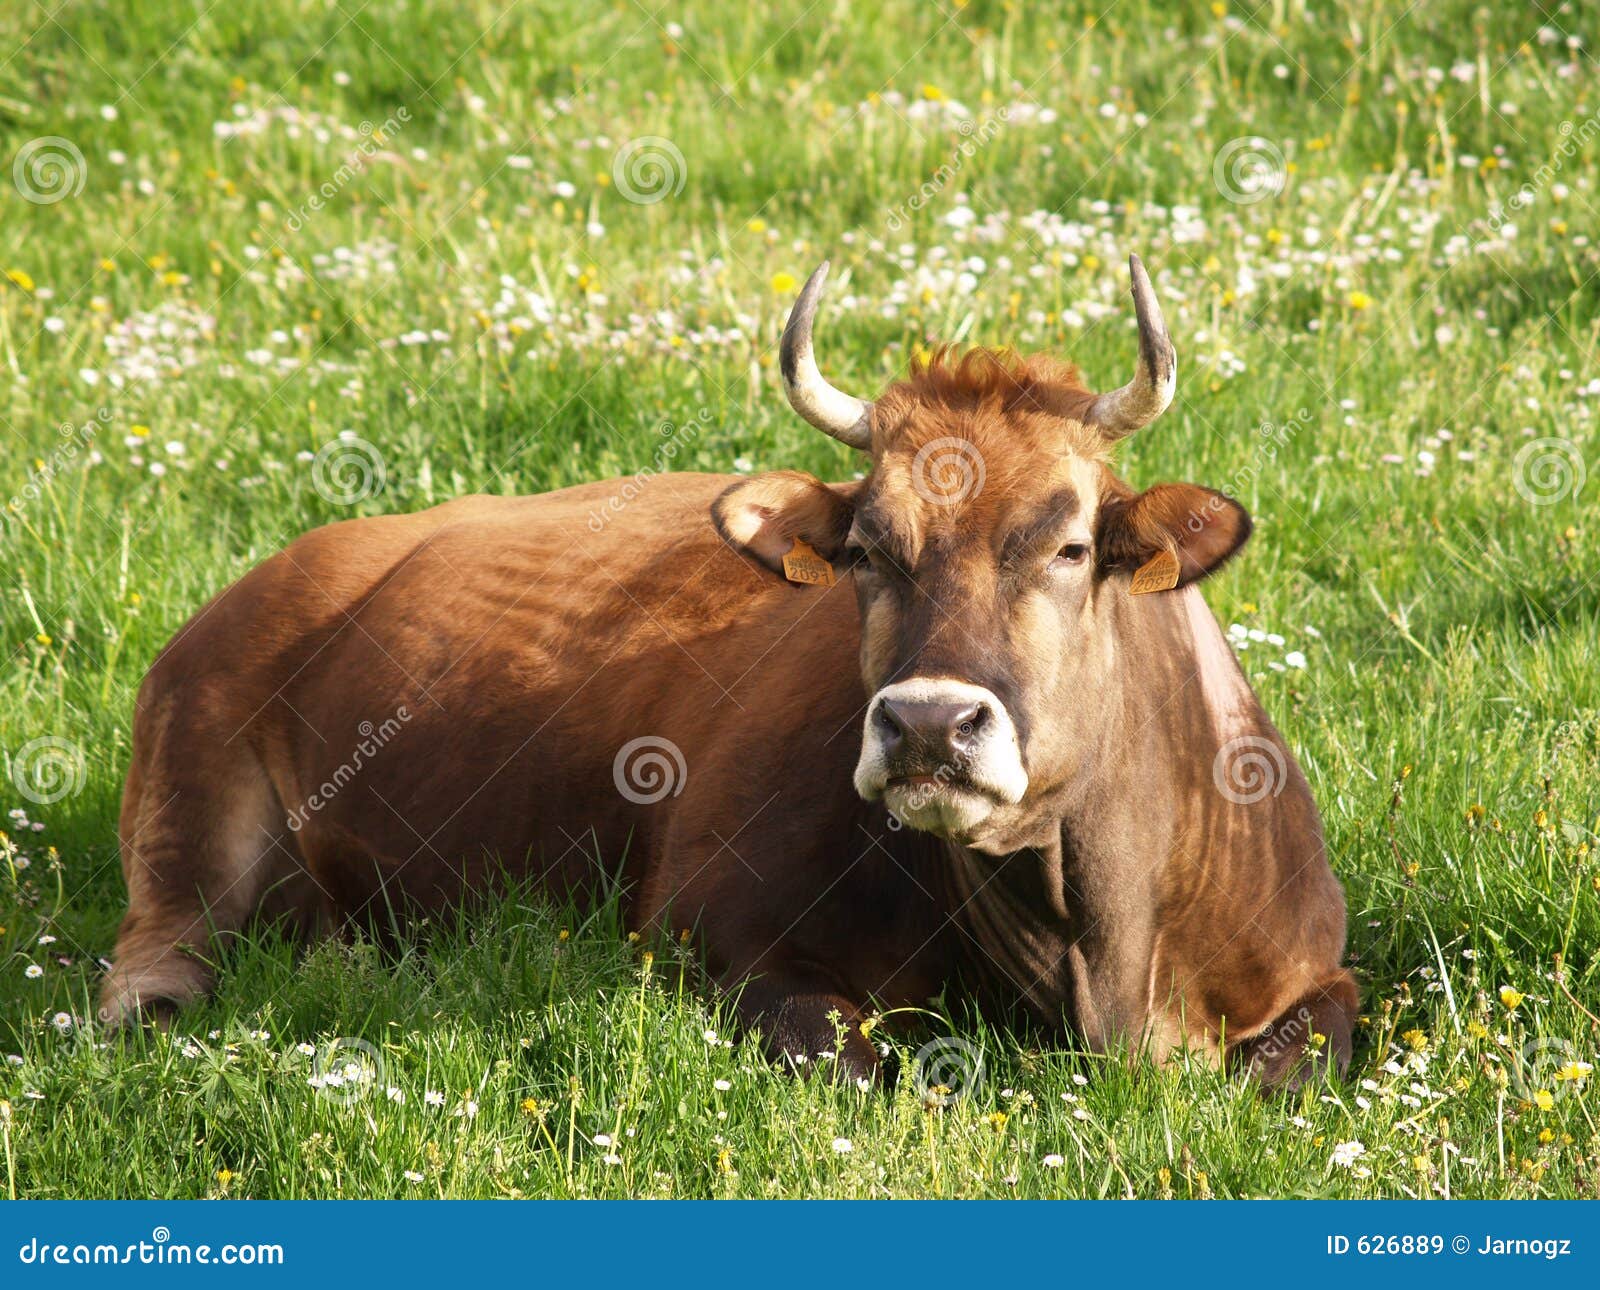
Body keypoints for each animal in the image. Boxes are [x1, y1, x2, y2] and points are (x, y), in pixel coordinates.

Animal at [101, 255, 1356, 1089]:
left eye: (1068, 545)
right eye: (867, 549)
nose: (928, 725)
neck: (1093, 948)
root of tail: (289, 566)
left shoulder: (1316, 974)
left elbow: (1297, 1060)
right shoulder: (714, 936)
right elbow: (864, 1067)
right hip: (187, 816)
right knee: (152, 965)